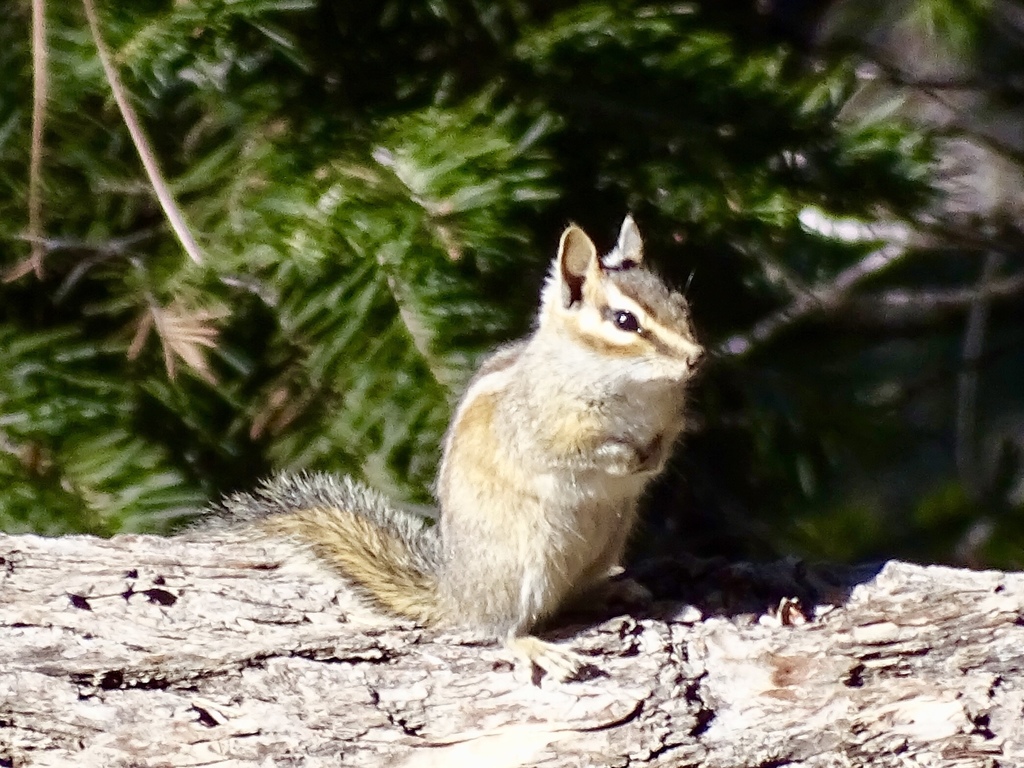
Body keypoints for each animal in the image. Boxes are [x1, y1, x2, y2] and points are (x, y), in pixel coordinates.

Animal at [213, 215, 703, 680]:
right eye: (624, 321)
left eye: (682, 305)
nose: (696, 357)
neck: (633, 387)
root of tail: (457, 593)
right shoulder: (547, 427)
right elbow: (578, 450)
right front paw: (627, 457)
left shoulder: (669, 417)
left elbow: (667, 440)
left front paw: (654, 456)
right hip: (523, 562)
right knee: (504, 626)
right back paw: (533, 645)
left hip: (607, 540)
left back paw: (613, 589)